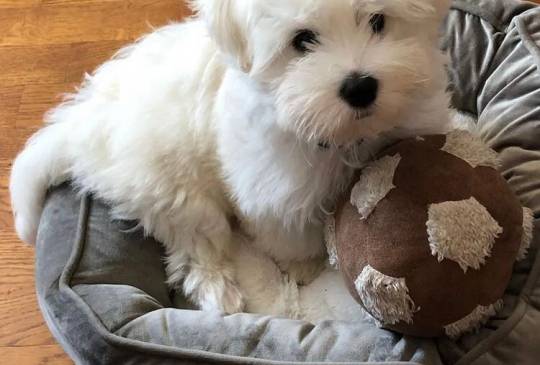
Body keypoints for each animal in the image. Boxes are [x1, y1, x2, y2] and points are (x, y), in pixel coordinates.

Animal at [11, 0, 452, 312]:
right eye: (302, 40)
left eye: (378, 21)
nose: (360, 87)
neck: (346, 135)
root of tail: (84, 123)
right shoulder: (272, 184)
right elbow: (288, 232)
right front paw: (303, 265)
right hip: (173, 187)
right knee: (196, 245)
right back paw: (218, 290)